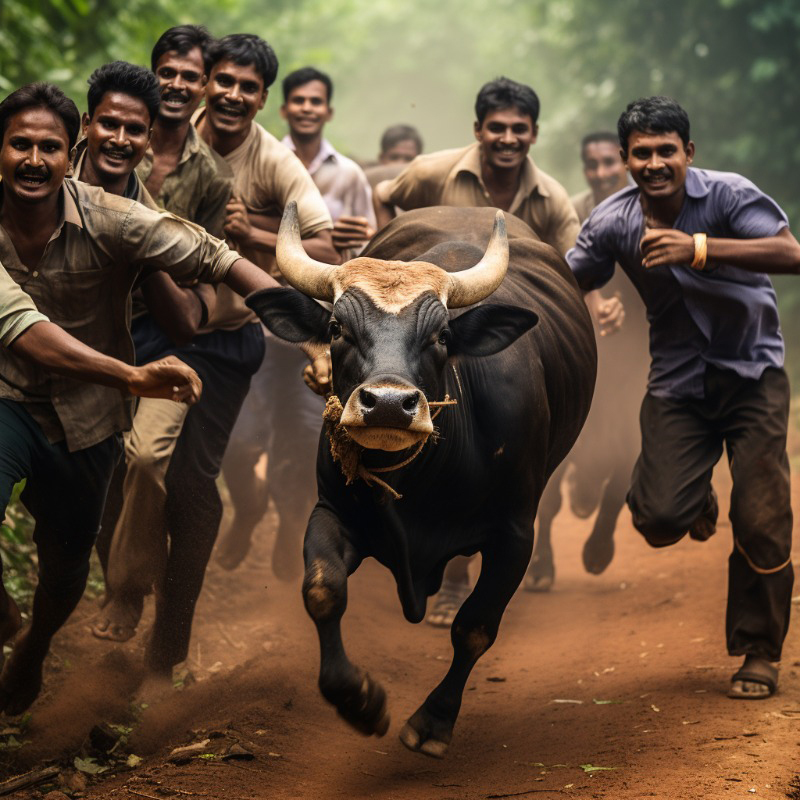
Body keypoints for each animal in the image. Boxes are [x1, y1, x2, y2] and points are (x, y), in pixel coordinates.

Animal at [246, 203, 596, 758]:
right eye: (336, 327)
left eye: (442, 337)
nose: (388, 404)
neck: (423, 483)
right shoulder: (333, 510)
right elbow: (323, 589)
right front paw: (358, 699)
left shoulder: (514, 534)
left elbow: (475, 627)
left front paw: (433, 721)